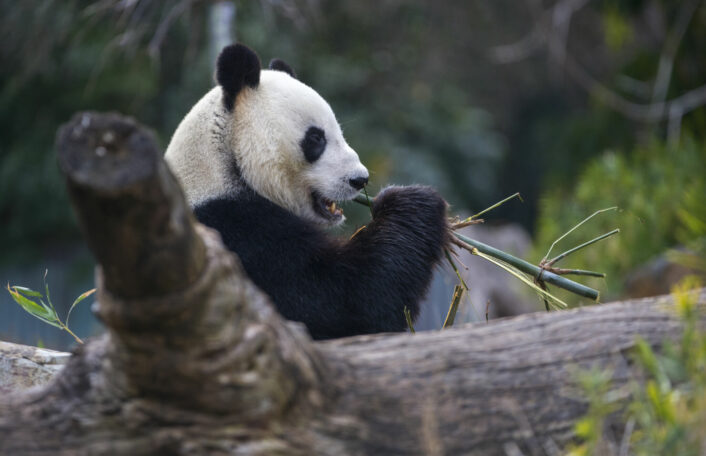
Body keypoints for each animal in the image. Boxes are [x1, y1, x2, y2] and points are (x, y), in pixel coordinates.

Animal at [165, 44, 449, 340]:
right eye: (316, 138)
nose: (360, 179)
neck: (218, 164)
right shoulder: (236, 236)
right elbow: (341, 300)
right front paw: (413, 202)